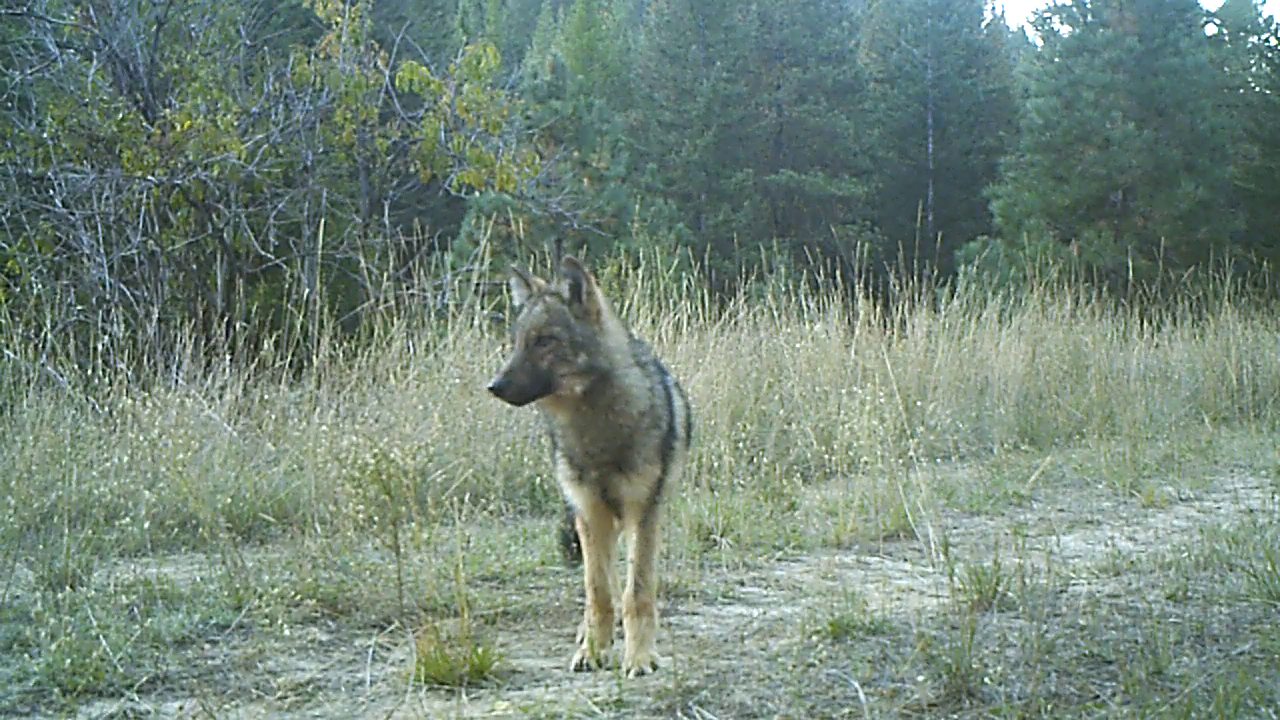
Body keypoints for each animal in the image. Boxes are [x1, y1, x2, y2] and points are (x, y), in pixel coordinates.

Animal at [487, 255, 692, 677]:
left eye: (545, 341)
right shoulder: (588, 510)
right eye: (517, 342)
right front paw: (593, 651)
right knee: (604, 581)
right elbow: (598, 592)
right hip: (594, 523)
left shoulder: (642, 512)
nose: (494, 386)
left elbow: (637, 593)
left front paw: (639, 658)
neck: (595, 431)